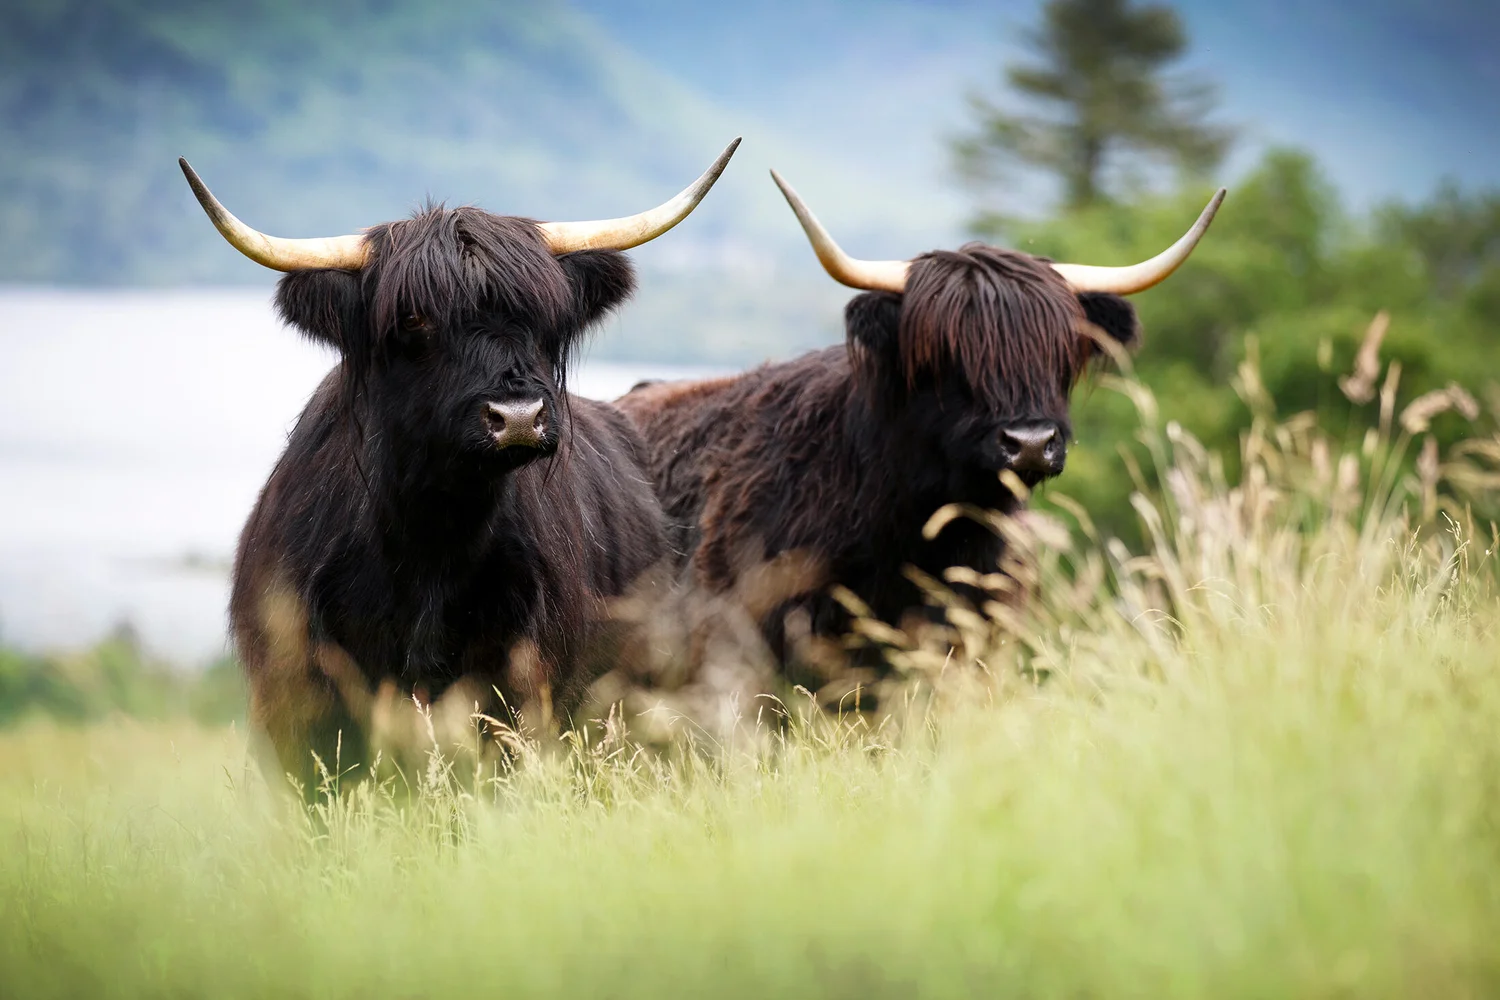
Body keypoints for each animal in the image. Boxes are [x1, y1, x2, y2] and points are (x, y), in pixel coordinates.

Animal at [178, 140, 739, 794]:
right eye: (415, 321)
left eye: (543, 318)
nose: (518, 416)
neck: (430, 538)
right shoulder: (305, 703)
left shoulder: (522, 687)